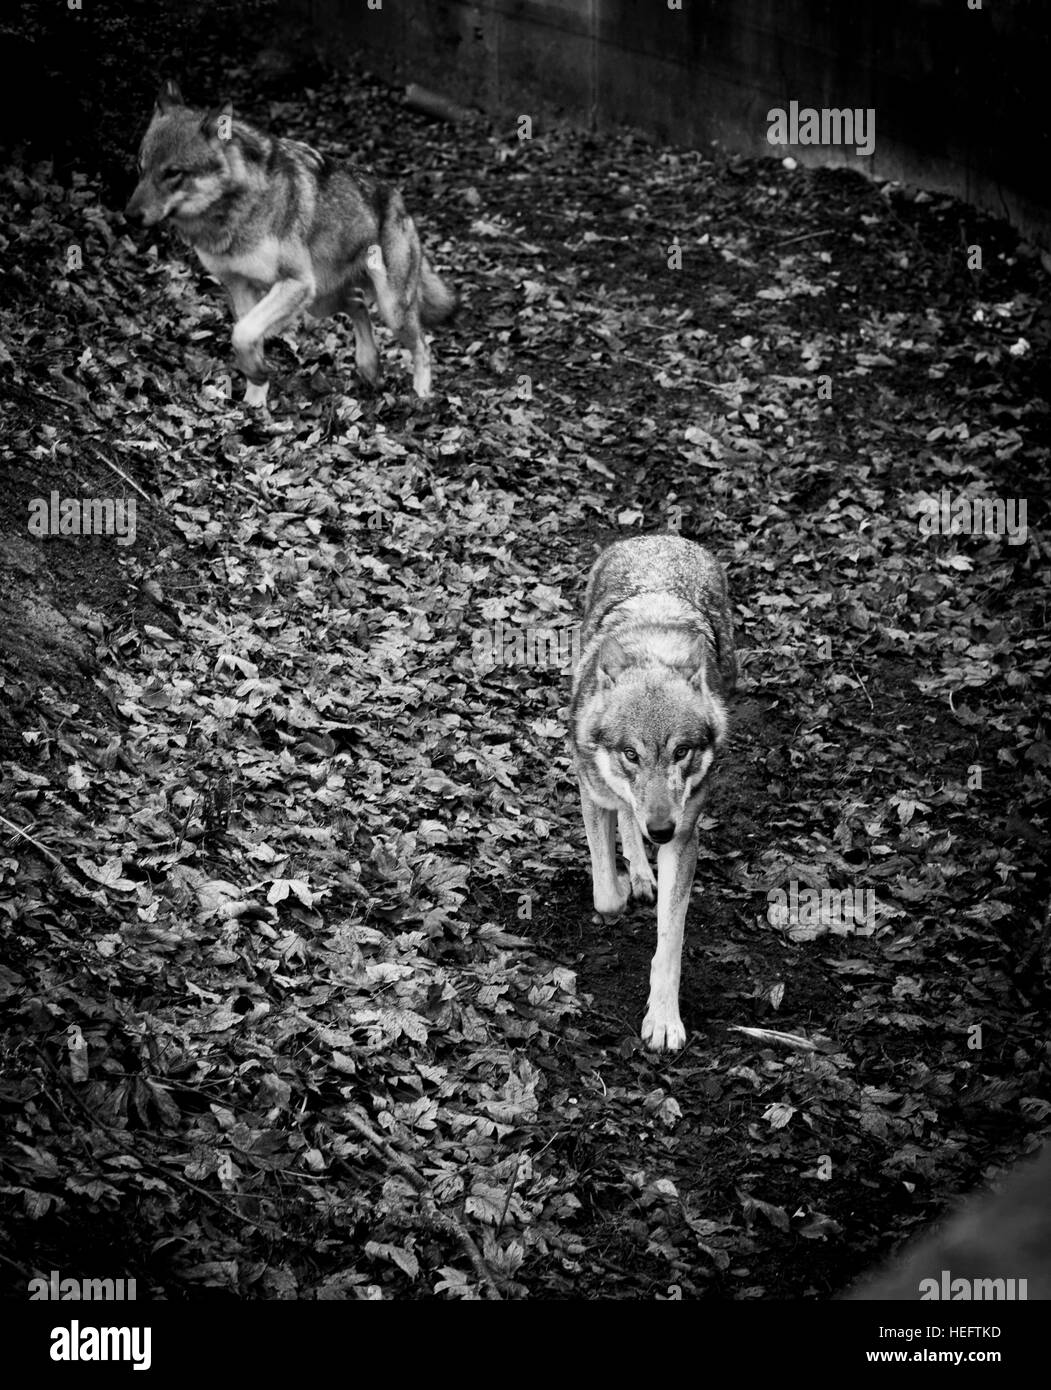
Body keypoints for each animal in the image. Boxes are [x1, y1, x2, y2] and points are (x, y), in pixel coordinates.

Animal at [125, 81, 457, 405]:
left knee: (423, 345)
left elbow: (242, 333)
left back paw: (421, 394)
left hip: (389, 309)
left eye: (173, 173)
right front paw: (255, 399)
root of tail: (400, 200)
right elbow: (247, 337)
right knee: (358, 304)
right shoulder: (241, 286)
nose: (129, 215)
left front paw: (257, 379)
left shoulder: (295, 283)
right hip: (321, 302)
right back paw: (369, 365)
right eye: (141, 168)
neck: (235, 211)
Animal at [569, 535, 737, 1052]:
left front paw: (663, 1021)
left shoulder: (685, 837)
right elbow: (606, 895)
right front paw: (624, 884)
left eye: (681, 751)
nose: (660, 829)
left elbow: (670, 944)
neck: (653, 652)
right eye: (630, 753)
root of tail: (660, 537)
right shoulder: (595, 793)